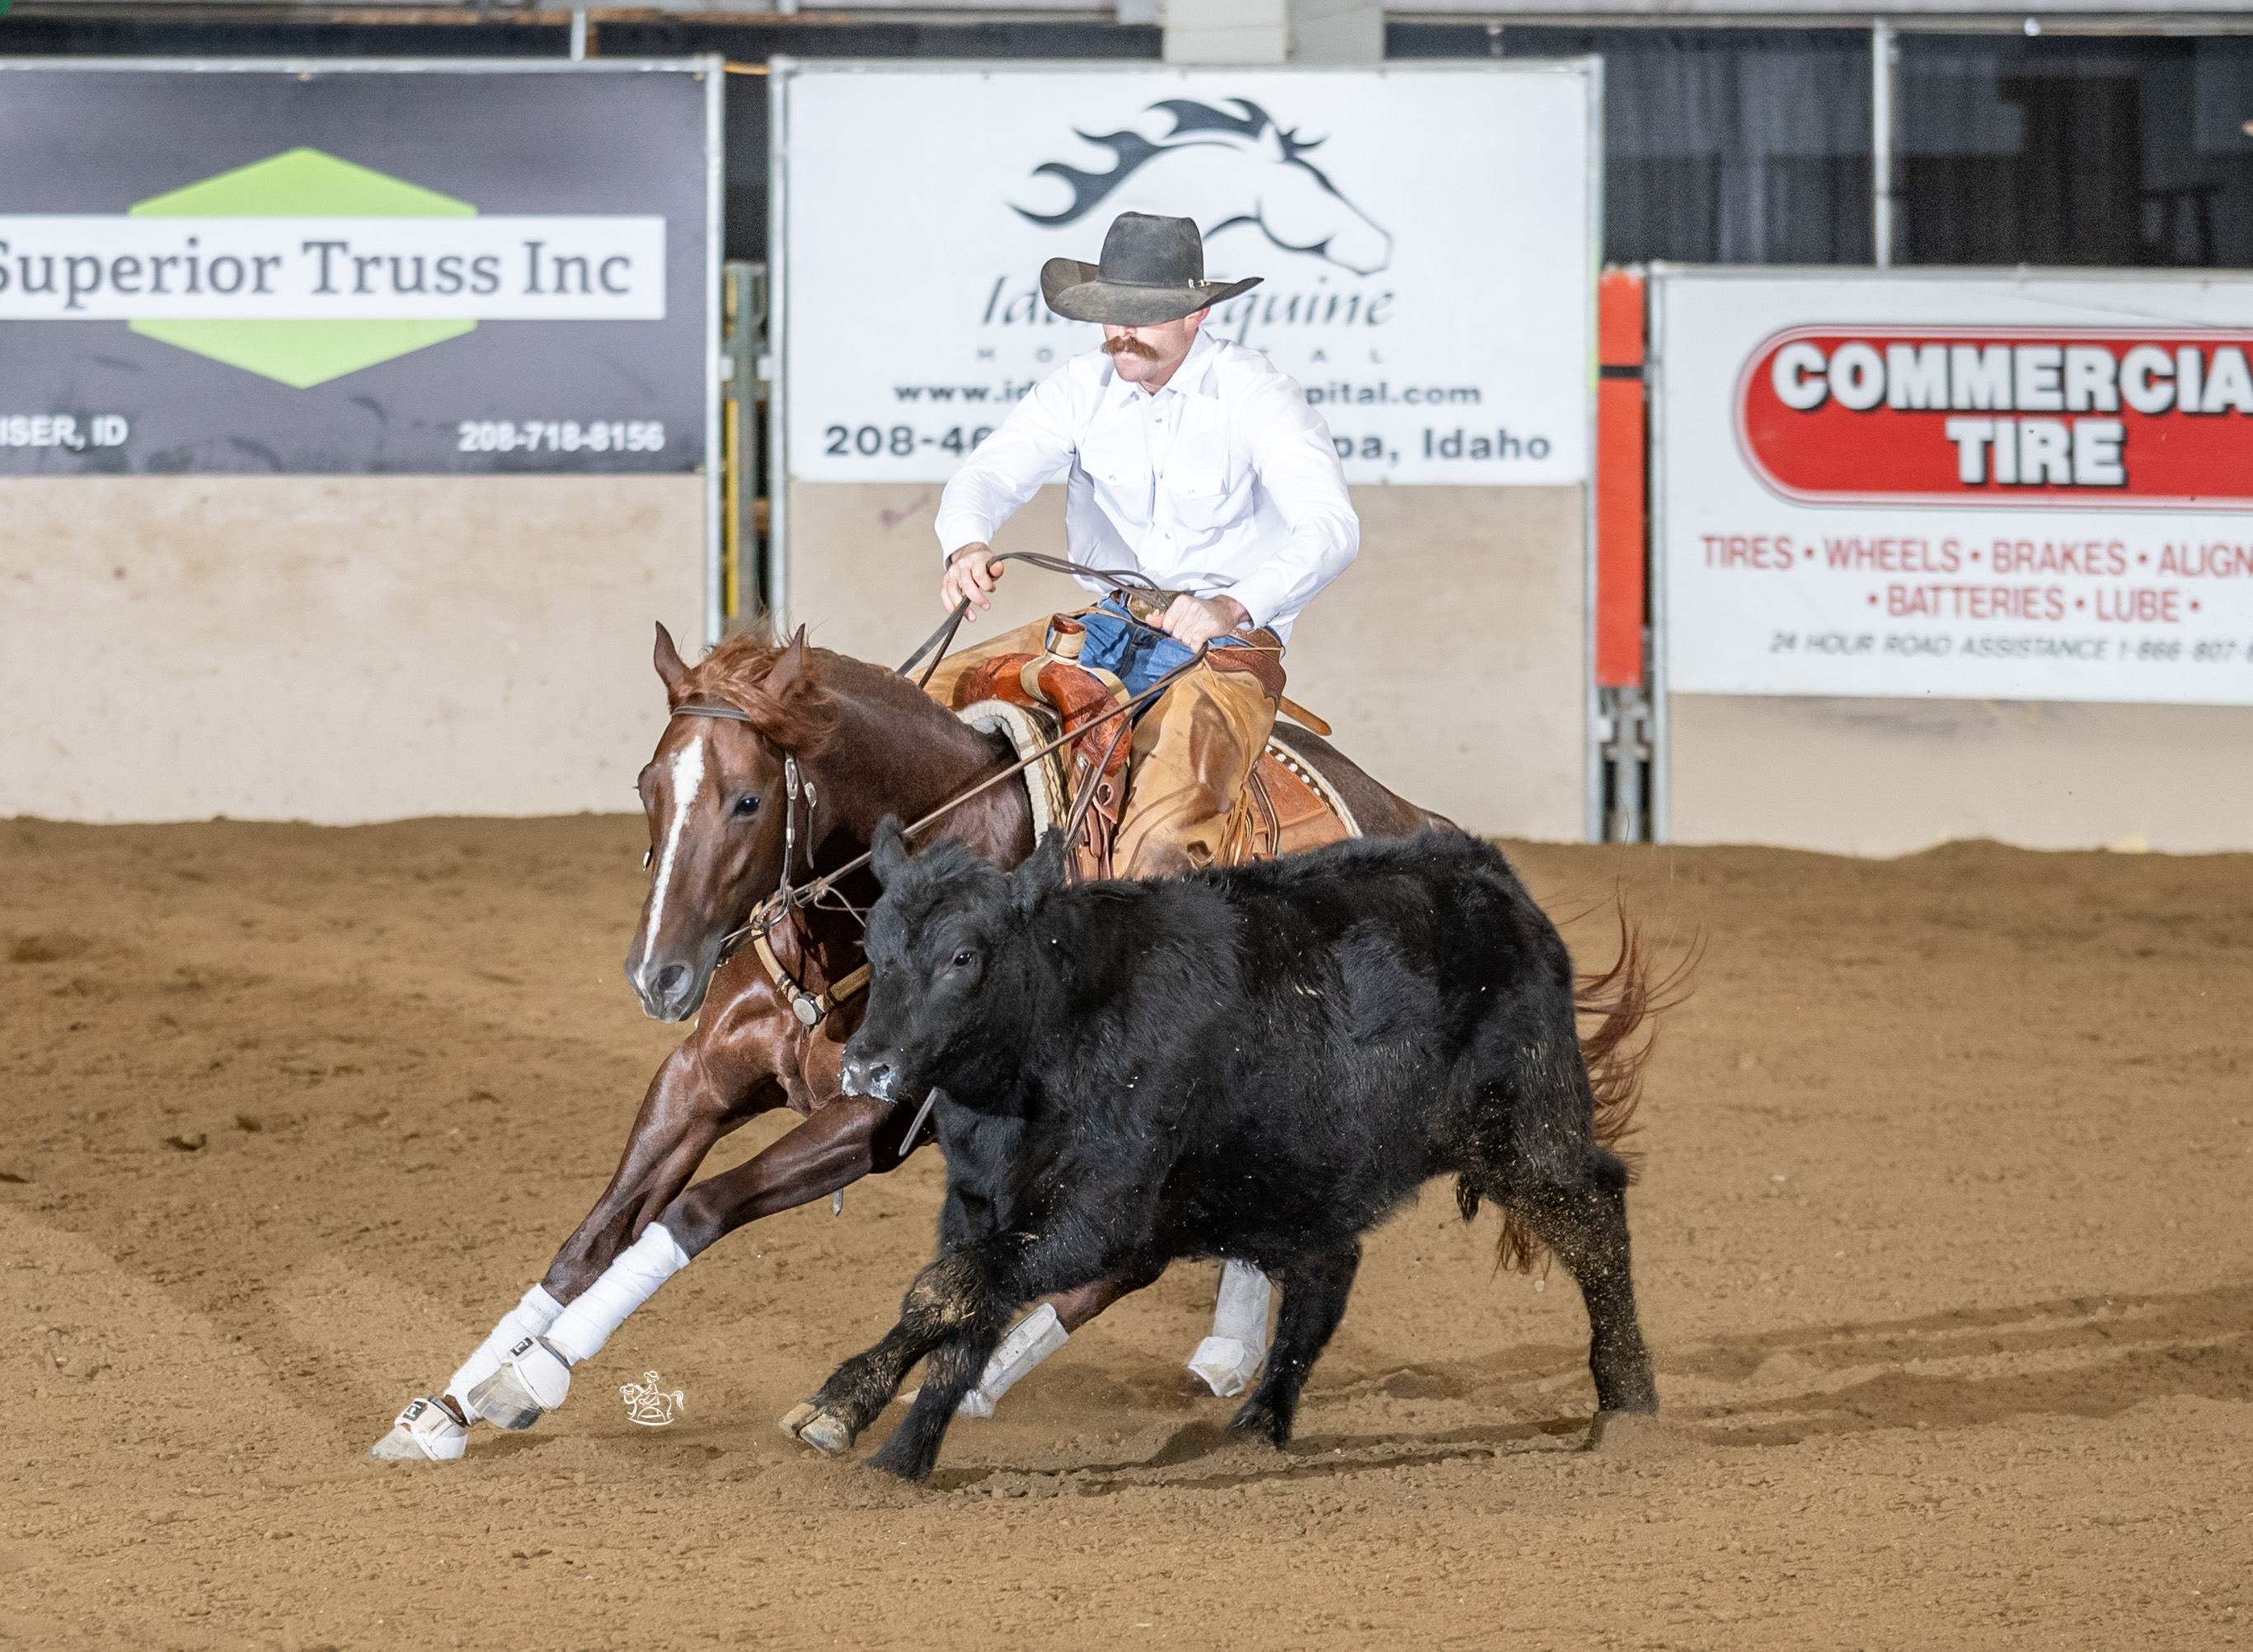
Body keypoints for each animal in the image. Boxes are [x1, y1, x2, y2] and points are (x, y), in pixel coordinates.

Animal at [371, 621, 1447, 1460]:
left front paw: (536, 1378)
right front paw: (447, 1407)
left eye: (748, 800)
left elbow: (695, 1213)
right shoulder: (701, 1077)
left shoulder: (875, 1116)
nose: (658, 975)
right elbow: (591, 1238)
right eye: (646, 784)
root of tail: (1408, 814)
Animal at [779, 821, 1659, 1481]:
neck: (1054, 1028)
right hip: (1298, 1175)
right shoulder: (977, 1201)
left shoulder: (1098, 1217)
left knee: (1596, 1221)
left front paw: (838, 1404)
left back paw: (1629, 1406)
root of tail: (1488, 874)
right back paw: (1255, 1426)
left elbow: (947, 1290)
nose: (865, 1064)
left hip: (1527, 1131)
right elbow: (965, 1307)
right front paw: (898, 1455)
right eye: (874, 948)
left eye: (962, 956)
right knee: (1328, 1271)